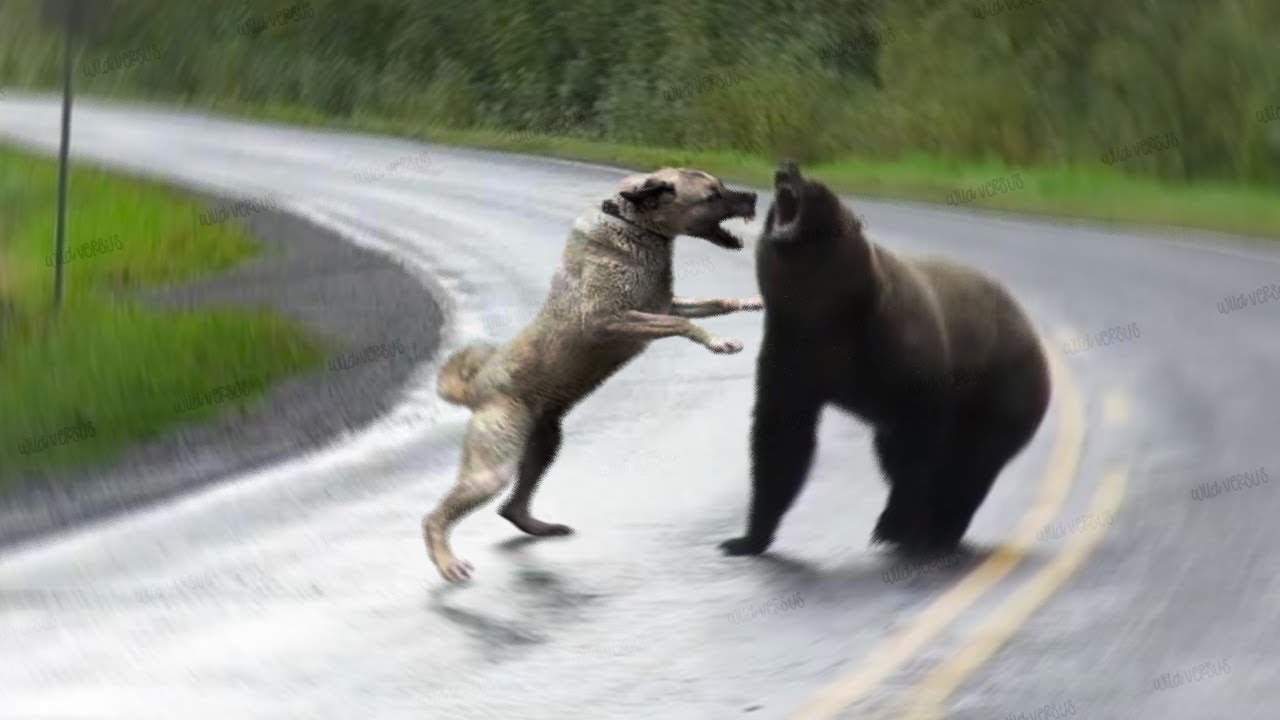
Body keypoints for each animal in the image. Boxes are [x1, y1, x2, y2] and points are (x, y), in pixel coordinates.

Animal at [719, 161, 1052, 558]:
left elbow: (919, 441)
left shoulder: (898, 347)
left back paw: (938, 528)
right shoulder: (794, 350)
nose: (787, 168)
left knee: (971, 461)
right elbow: (783, 434)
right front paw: (746, 538)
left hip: (1001, 387)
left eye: (816, 185)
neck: (829, 311)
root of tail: (1034, 333)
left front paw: (898, 520)